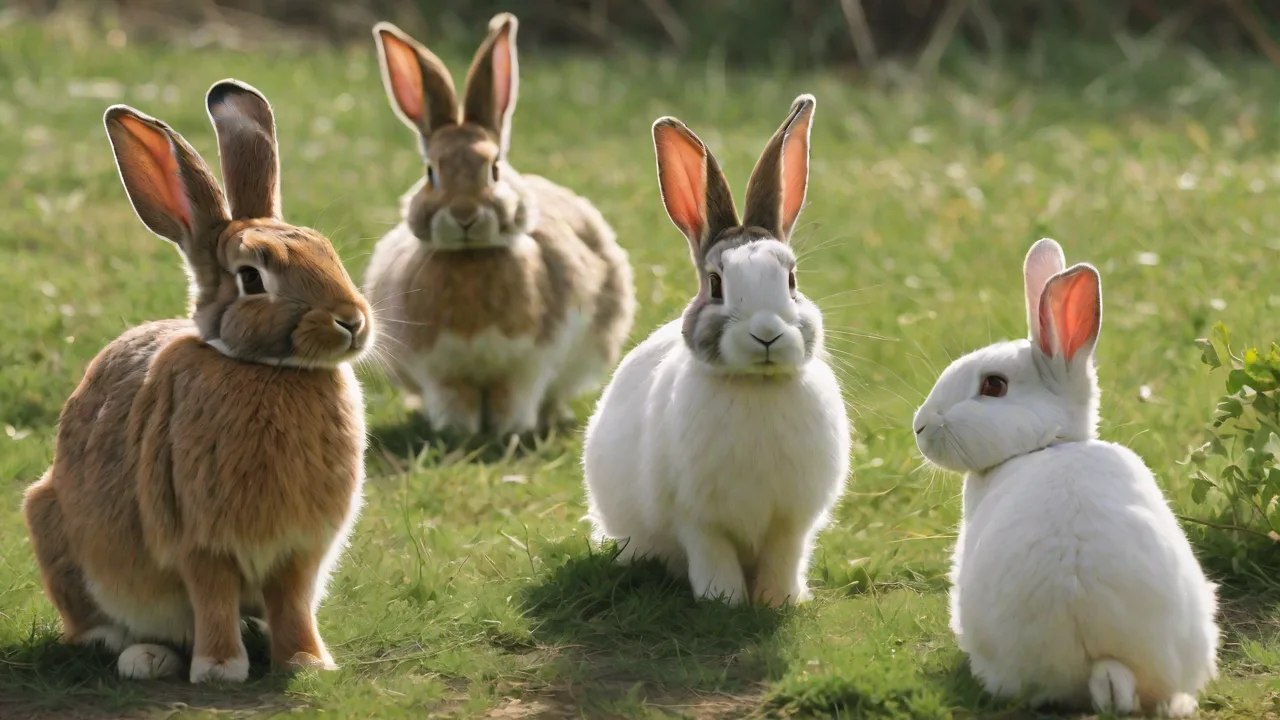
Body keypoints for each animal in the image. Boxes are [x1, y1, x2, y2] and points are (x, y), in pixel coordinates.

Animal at [20, 80, 373, 684]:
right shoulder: (199, 541)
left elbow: (293, 602)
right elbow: (211, 598)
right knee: (97, 627)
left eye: (326, 252)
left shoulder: (298, 553)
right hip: (53, 524)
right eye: (252, 278)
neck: (266, 370)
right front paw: (219, 669)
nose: (351, 320)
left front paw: (307, 663)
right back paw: (145, 656)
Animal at [363, 14, 636, 437]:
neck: (470, 257)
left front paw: (511, 432)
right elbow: (454, 403)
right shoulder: (441, 373)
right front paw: (458, 433)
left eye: (493, 169)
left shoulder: (527, 367)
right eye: (431, 173)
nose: (464, 215)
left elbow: (515, 400)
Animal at [582, 95, 851, 607]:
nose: (766, 333)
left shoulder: (791, 524)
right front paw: (722, 602)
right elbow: (713, 556)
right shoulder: (698, 521)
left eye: (791, 280)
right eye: (715, 284)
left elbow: (784, 558)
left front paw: (779, 602)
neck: (756, 387)